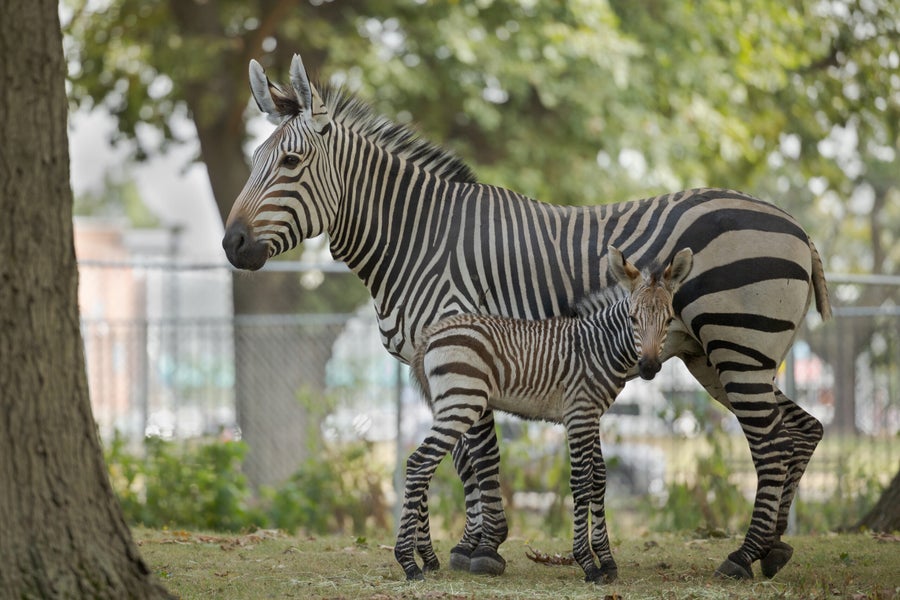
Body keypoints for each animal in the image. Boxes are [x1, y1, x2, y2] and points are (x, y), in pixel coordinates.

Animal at [396, 246, 693, 583]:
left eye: (668, 319)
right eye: (632, 318)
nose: (650, 367)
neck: (600, 346)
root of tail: (432, 334)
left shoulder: (591, 415)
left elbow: (599, 479)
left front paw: (606, 561)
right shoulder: (579, 415)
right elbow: (582, 481)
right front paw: (587, 563)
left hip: (449, 405)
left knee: (421, 465)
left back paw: (426, 557)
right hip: (461, 403)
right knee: (420, 463)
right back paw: (408, 562)